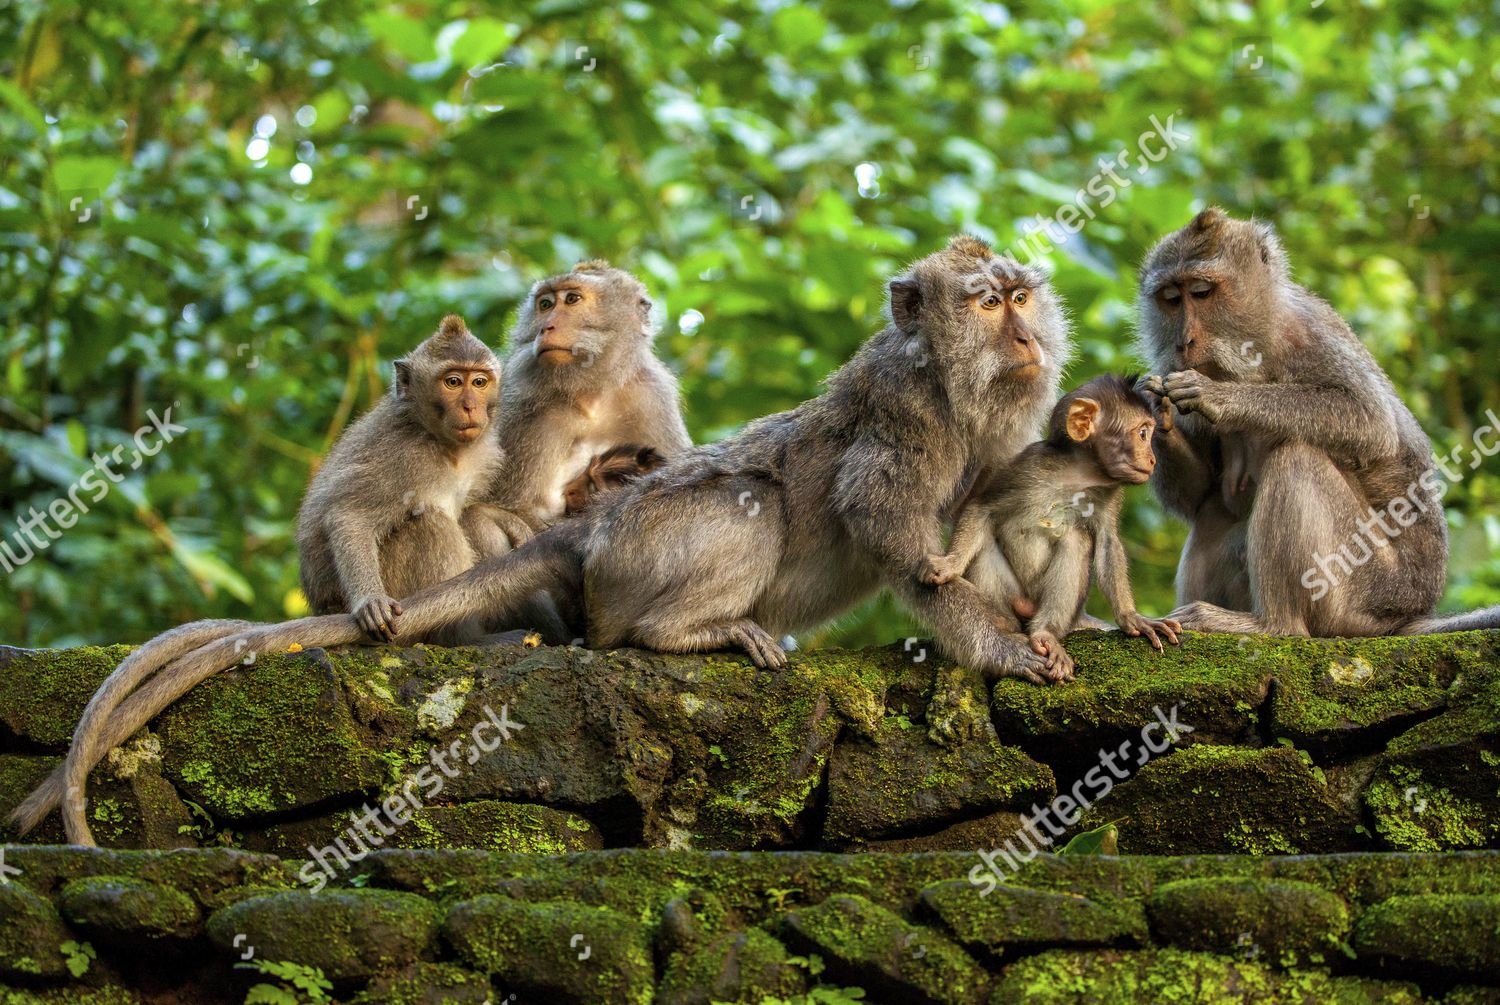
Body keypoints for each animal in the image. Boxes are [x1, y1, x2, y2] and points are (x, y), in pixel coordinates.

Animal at [297, 314, 504, 644]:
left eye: (479, 382)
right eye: (453, 382)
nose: (470, 406)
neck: (437, 440)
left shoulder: (485, 455)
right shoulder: (400, 458)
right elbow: (349, 516)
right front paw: (370, 601)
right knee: (430, 524)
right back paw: (463, 636)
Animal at [920, 374, 1182, 678]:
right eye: (1142, 433)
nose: (1152, 459)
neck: (1077, 474)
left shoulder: (1110, 494)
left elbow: (1107, 542)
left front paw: (1132, 617)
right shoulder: (1028, 464)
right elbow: (981, 507)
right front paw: (949, 564)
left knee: (1076, 540)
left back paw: (1045, 634)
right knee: (985, 544)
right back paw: (1006, 633)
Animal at [1137, 207, 1500, 637]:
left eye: (1201, 292)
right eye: (1171, 300)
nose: (1184, 342)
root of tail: (1407, 614)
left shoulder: (1304, 335)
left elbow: (1370, 420)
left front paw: (1218, 397)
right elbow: (1199, 494)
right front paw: (1156, 410)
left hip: (1364, 586)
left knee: (1297, 458)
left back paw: (1272, 625)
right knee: (1215, 511)